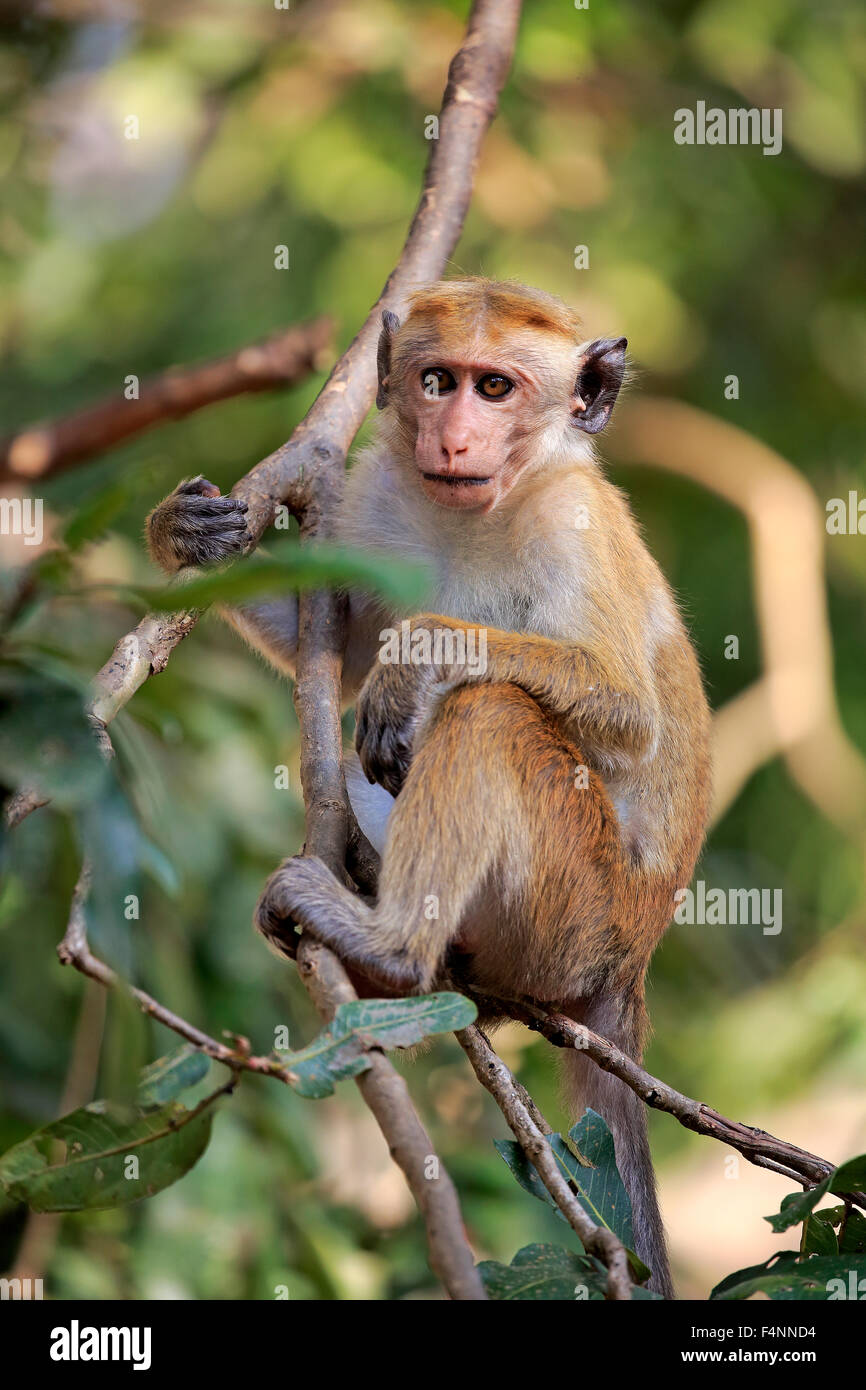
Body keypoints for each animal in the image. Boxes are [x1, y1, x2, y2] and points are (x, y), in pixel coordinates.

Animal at [147, 279, 712, 1298]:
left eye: (496, 388)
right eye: (438, 380)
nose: (452, 439)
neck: (483, 512)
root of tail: (630, 965)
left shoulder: (573, 526)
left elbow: (624, 711)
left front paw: (417, 657)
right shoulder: (373, 499)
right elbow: (329, 648)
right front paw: (182, 535)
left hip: (578, 915)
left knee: (490, 714)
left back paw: (393, 945)